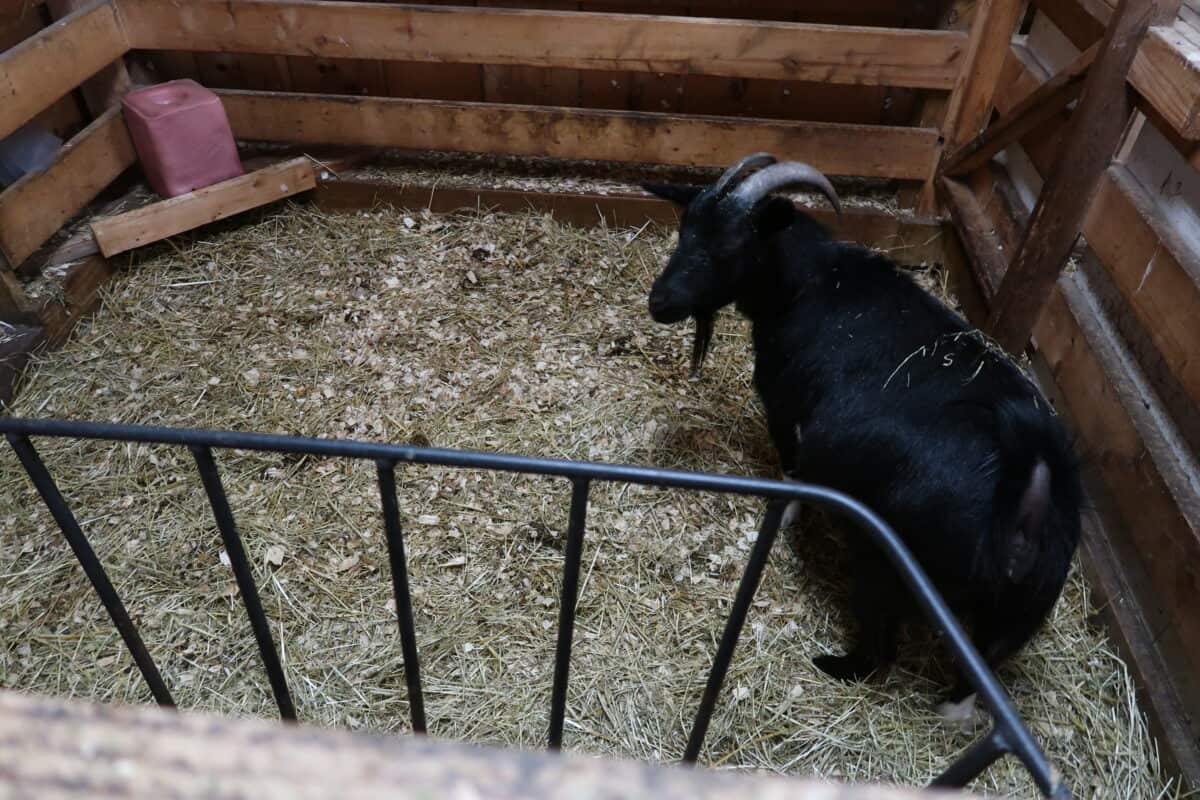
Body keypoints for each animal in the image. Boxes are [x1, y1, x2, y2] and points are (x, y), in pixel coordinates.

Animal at [643, 154, 1082, 712]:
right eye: (684, 231)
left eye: (730, 245)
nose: (660, 303)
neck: (810, 279)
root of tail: (1027, 491)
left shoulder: (787, 409)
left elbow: (792, 469)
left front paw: (785, 516)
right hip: (1017, 614)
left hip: (886, 567)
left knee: (880, 651)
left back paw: (831, 664)